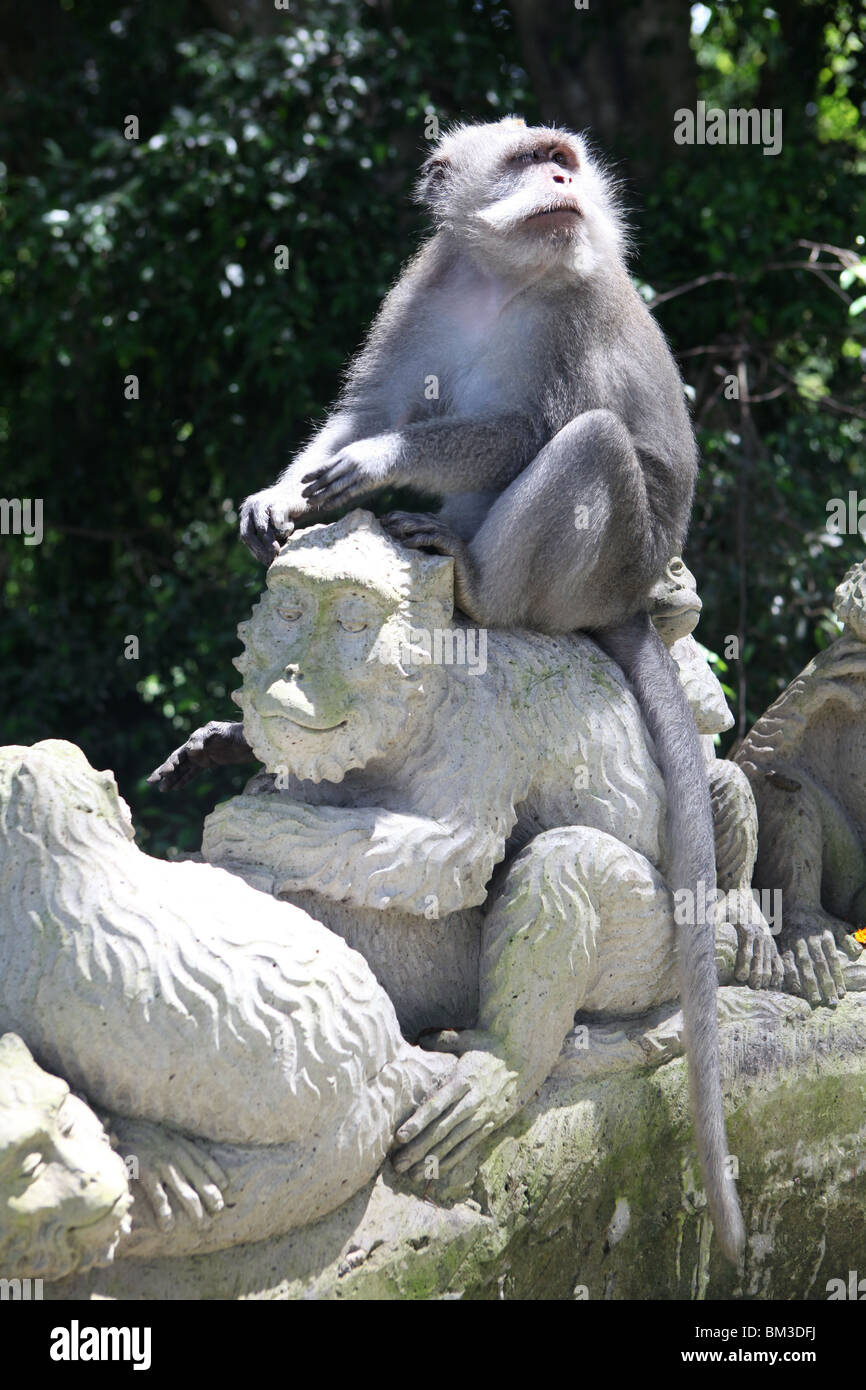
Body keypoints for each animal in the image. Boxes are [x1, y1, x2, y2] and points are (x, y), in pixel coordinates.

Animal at [237, 118, 743, 1261]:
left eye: (564, 157)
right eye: (529, 158)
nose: (560, 175)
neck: (507, 279)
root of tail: (629, 598)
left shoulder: (572, 307)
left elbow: (522, 429)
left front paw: (384, 460)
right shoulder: (423, 285)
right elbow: (361, 402)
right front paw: (280, 493)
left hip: (601, 564)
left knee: (585, 444)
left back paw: (470, 579)